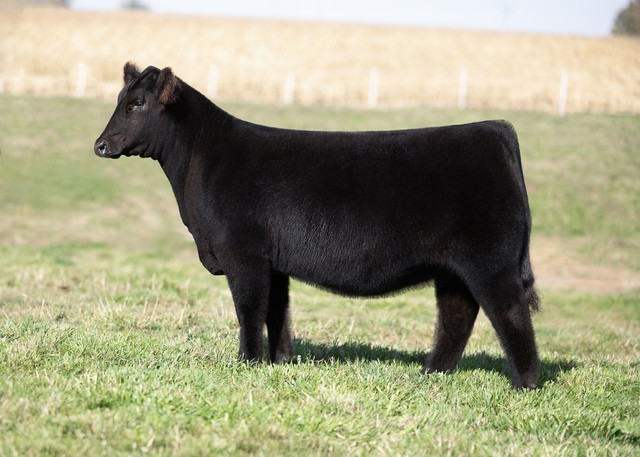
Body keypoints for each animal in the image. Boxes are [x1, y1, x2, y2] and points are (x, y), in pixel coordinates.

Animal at [94, 63, 540, 388]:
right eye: (120, 99)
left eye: (137, 104)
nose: (100, 145)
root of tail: (495, 130)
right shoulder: (273, 261)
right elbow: (277, 311)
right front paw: (279, 361)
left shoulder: (243, 253)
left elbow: (249, 309)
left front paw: (247, 362)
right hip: (453, 269)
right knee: (457, 314)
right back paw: (431, 374)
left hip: (490, 262)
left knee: (509, 311)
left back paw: (525, 383)